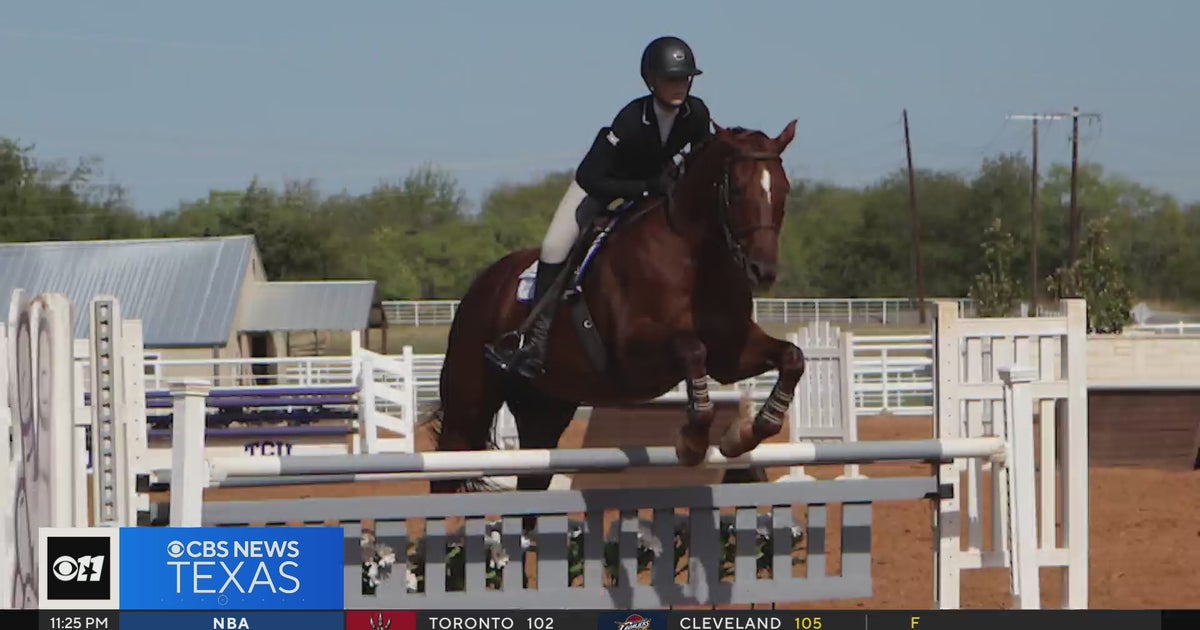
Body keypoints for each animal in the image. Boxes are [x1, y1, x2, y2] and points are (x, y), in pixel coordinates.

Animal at [425, 120, 803, 495]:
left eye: (784, 190)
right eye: (736, 190)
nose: (763, 271)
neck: (695, 258)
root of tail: (483, 283)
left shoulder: (728, 356)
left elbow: (792, 357)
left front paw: (746, 434)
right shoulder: (631, 354)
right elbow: (692, 348)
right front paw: (692, 443)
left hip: (544, 410)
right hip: (468, 405)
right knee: (447, 466)